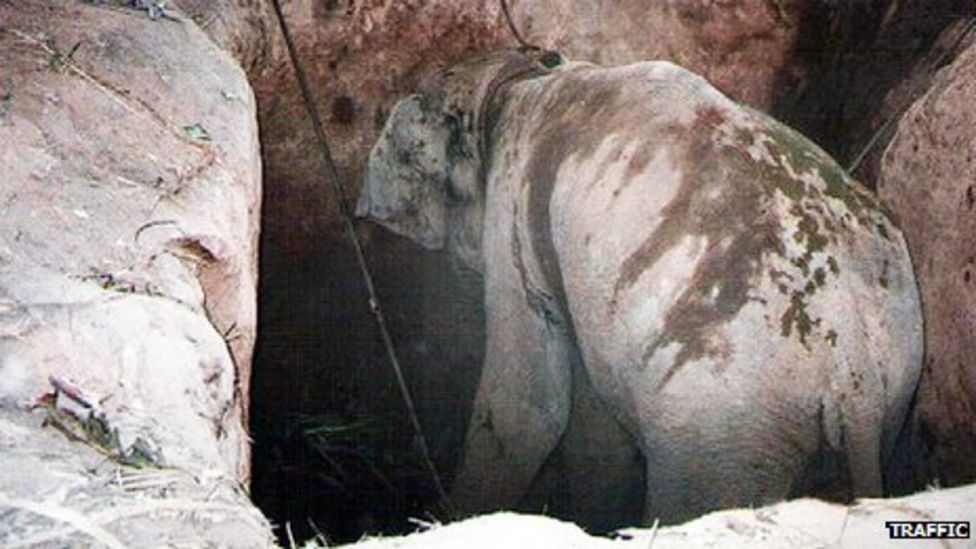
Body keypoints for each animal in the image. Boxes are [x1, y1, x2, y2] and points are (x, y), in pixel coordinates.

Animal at [356, 49, 923, 525]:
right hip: (883, 397)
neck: (519, 79)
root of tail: (855, 382)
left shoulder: (512, 215)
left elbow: (527, 406)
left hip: (722, 427)